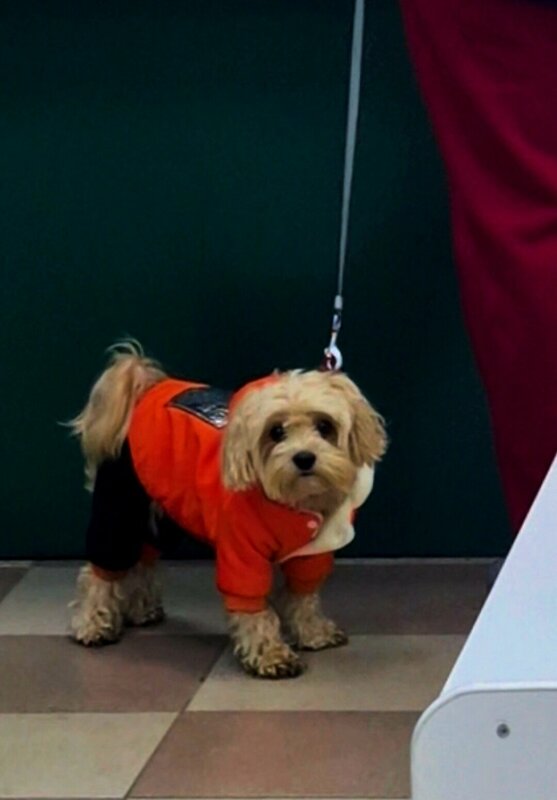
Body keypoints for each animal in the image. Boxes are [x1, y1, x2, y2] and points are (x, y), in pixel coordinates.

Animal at [68, 341, 387, 678]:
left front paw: (313, 631)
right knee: (100, 571)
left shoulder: (311, 555)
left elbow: (304, 596)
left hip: (162, 514)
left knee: (144, 558)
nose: (304, 458)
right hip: (119, 509)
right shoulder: (241, 555)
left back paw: (141, 608)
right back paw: (91, 624)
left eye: (324, 426)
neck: (292, 504)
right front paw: (270, 654)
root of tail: (147, 387)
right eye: (276, 431)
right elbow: (254, 609)